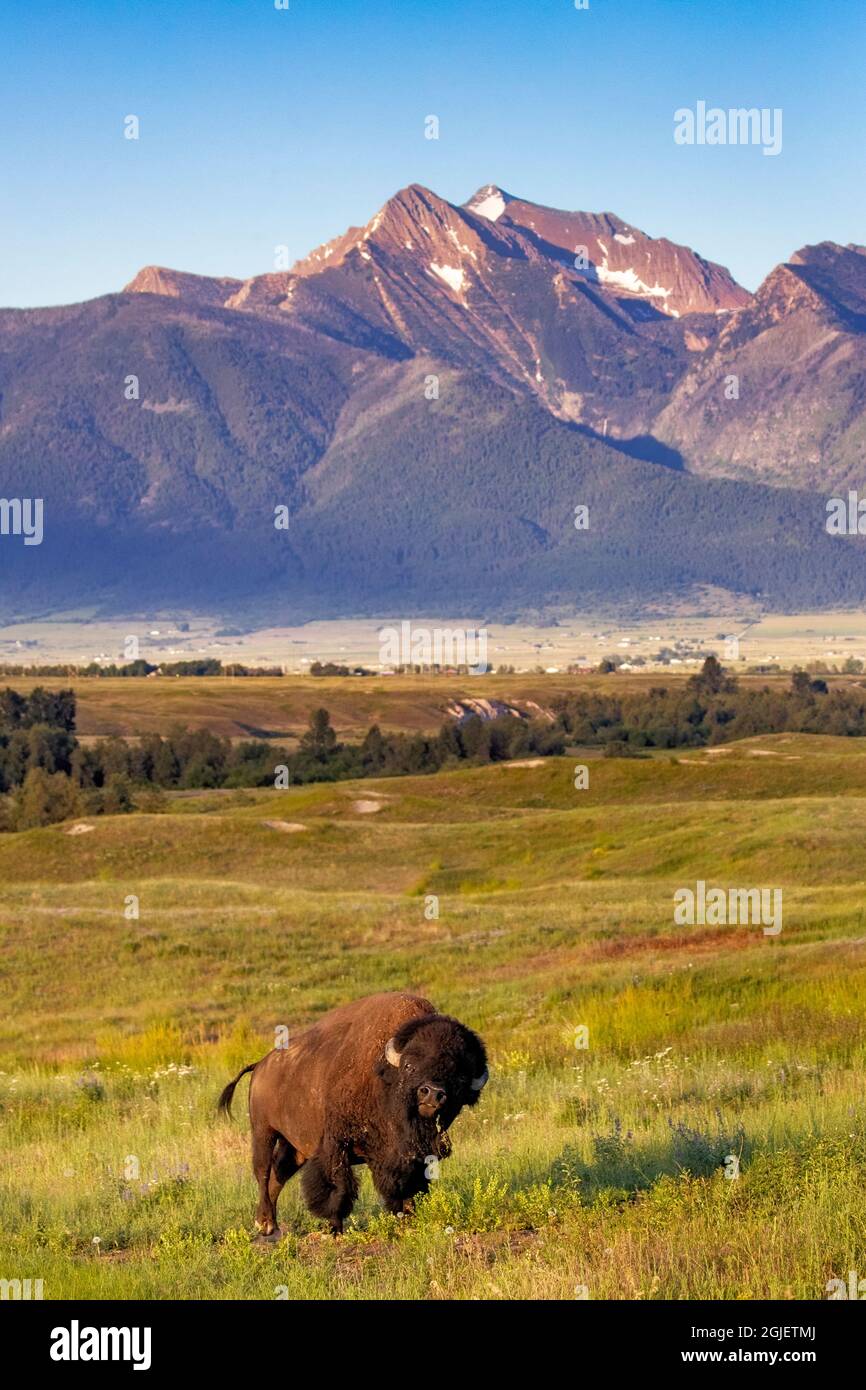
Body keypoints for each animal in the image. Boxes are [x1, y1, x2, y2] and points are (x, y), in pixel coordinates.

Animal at [218, 991, 488, 1237]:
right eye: (410, 1065)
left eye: (459, 1077)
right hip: (264, 1131)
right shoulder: (336, 1145)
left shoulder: (411, 1155)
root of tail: (261, 1065)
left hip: (295, 1147)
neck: (384, 1075)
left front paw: (407, 1219)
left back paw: (270, 1223)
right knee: (263, 1172)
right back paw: (265, 1226)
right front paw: (335, 1228)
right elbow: (339, 1187)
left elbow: (410, 1185)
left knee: (278, 1176)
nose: (432, 1094)